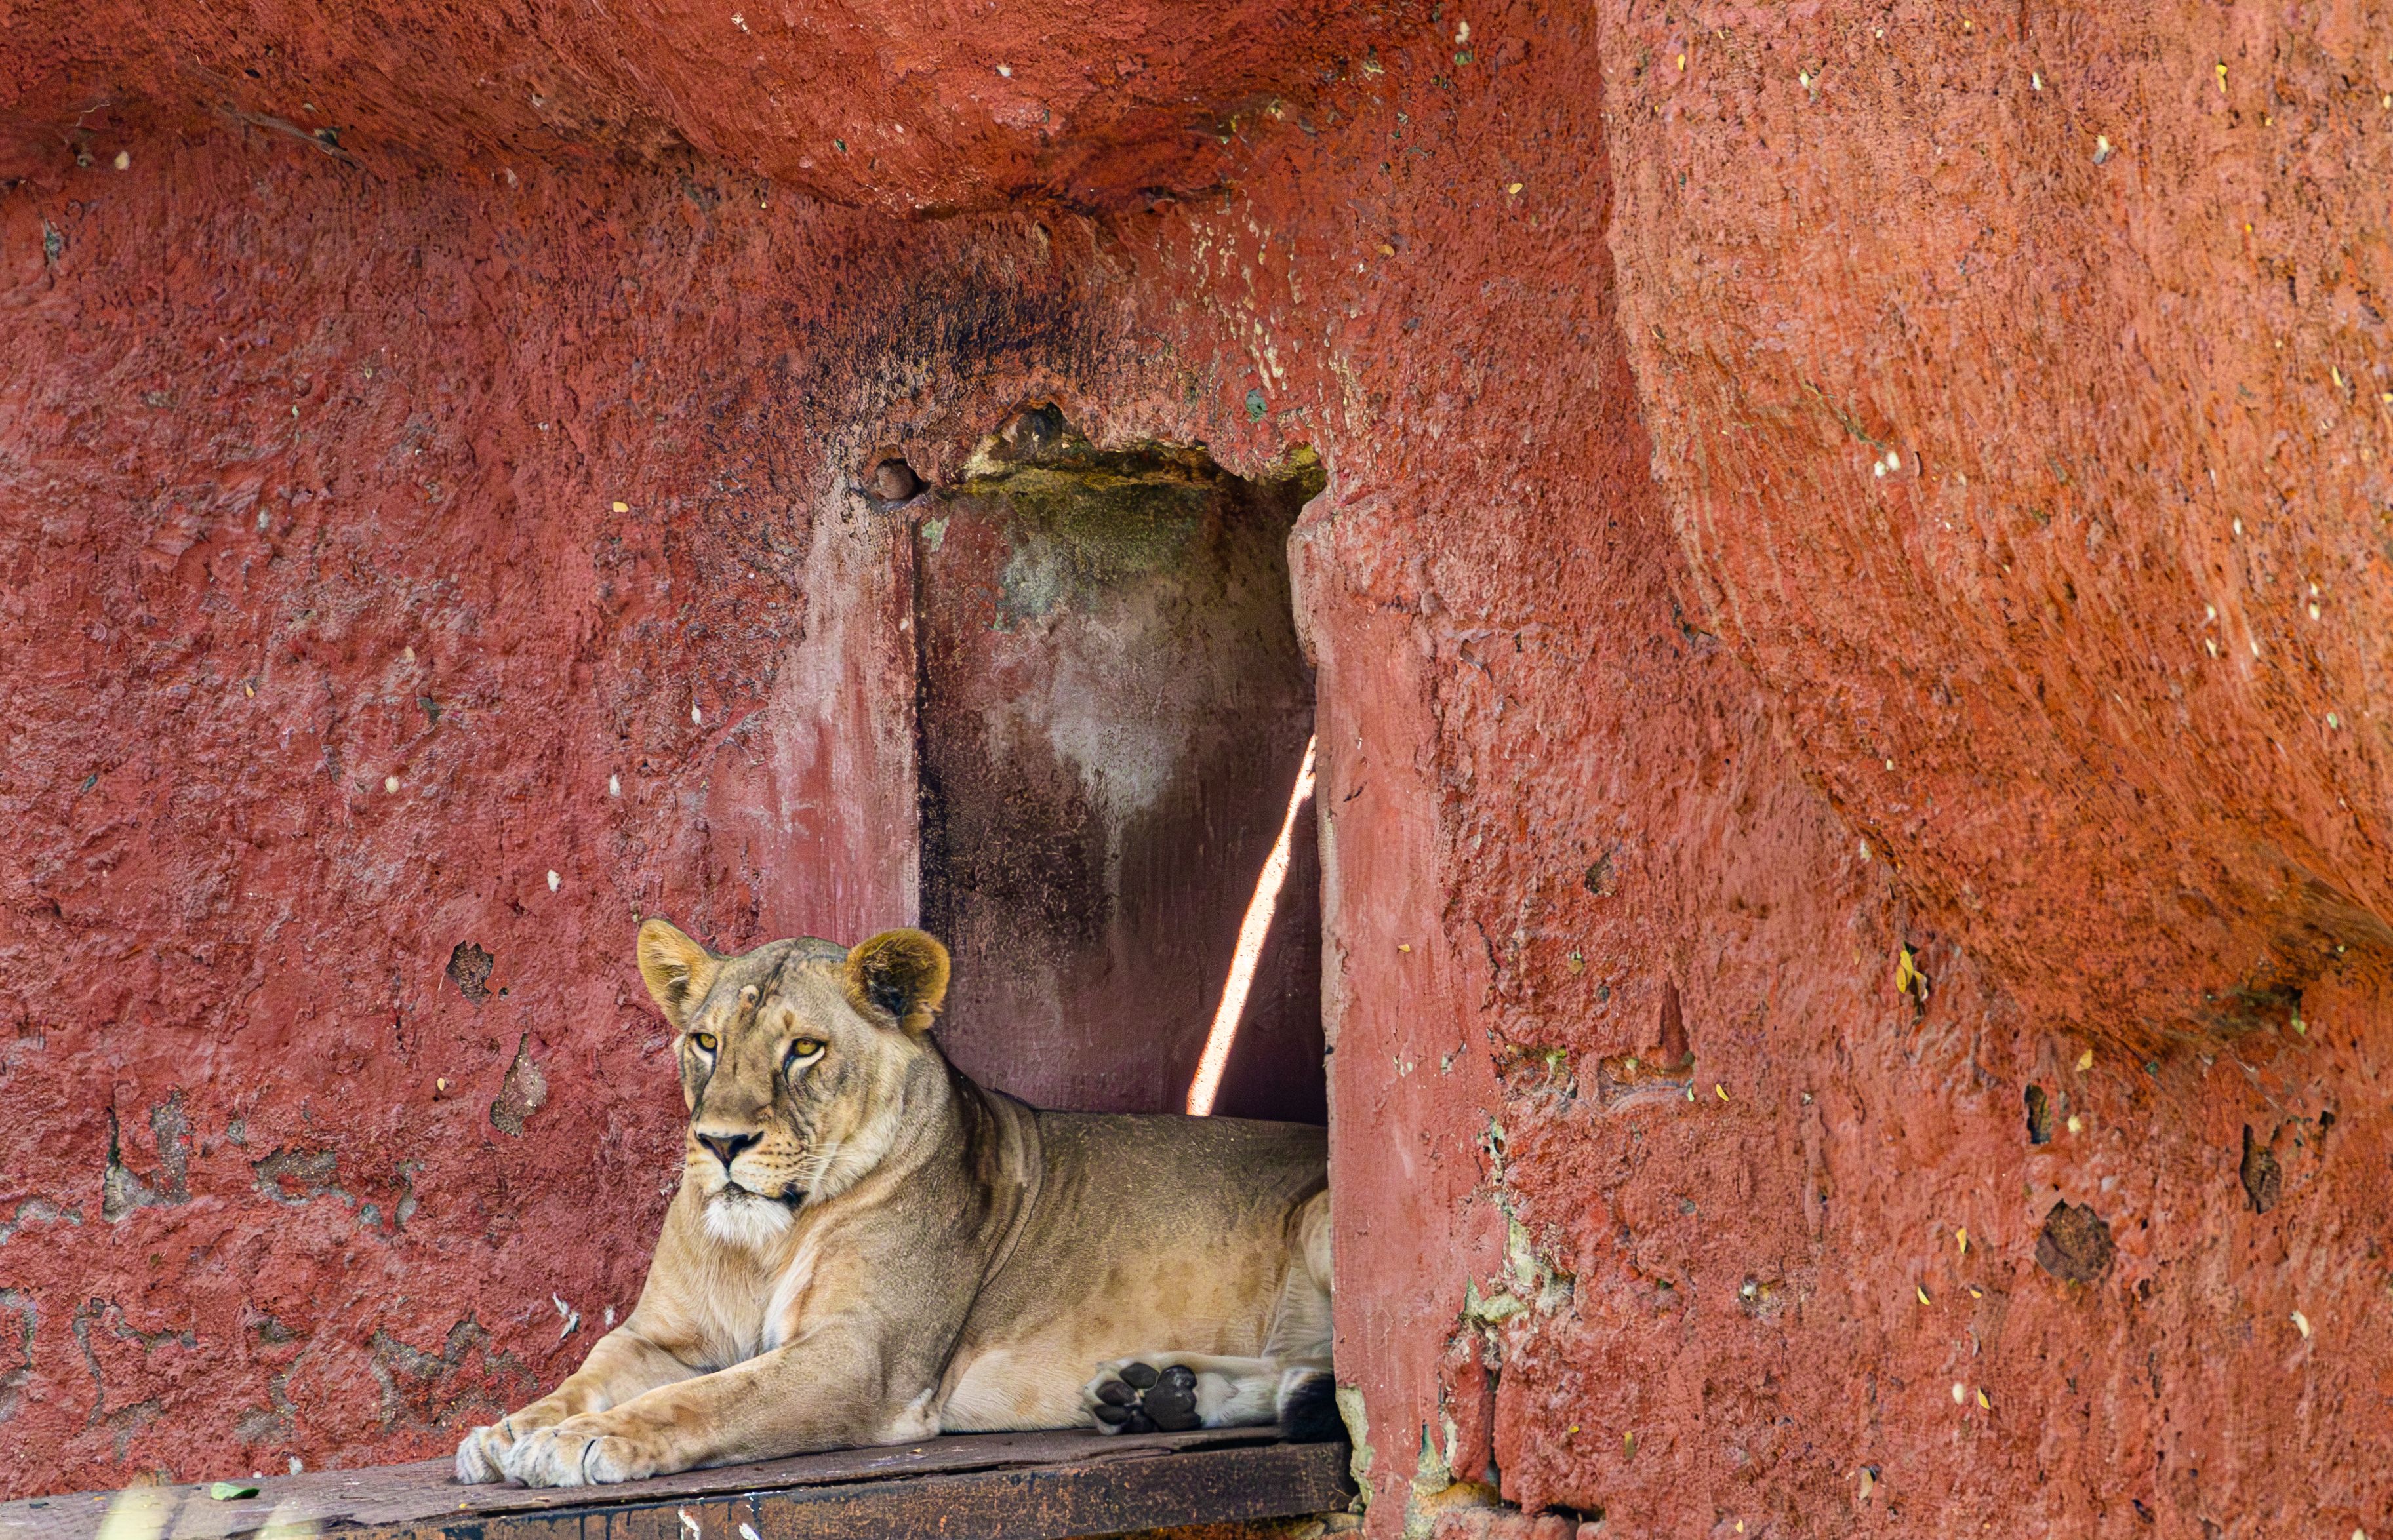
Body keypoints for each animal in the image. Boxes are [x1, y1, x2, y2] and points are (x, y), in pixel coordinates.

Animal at [453, 920, 1337, 1487]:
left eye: (804, 1049)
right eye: (706, 1042)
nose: (721, 1144)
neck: (765, 1241)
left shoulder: (865, 1355)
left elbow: (710, 1397)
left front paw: (585, 1440)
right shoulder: (659, 1338)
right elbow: (590, 1373)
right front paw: (509, 1431)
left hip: (1327, 1216)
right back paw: (1159, 1392)